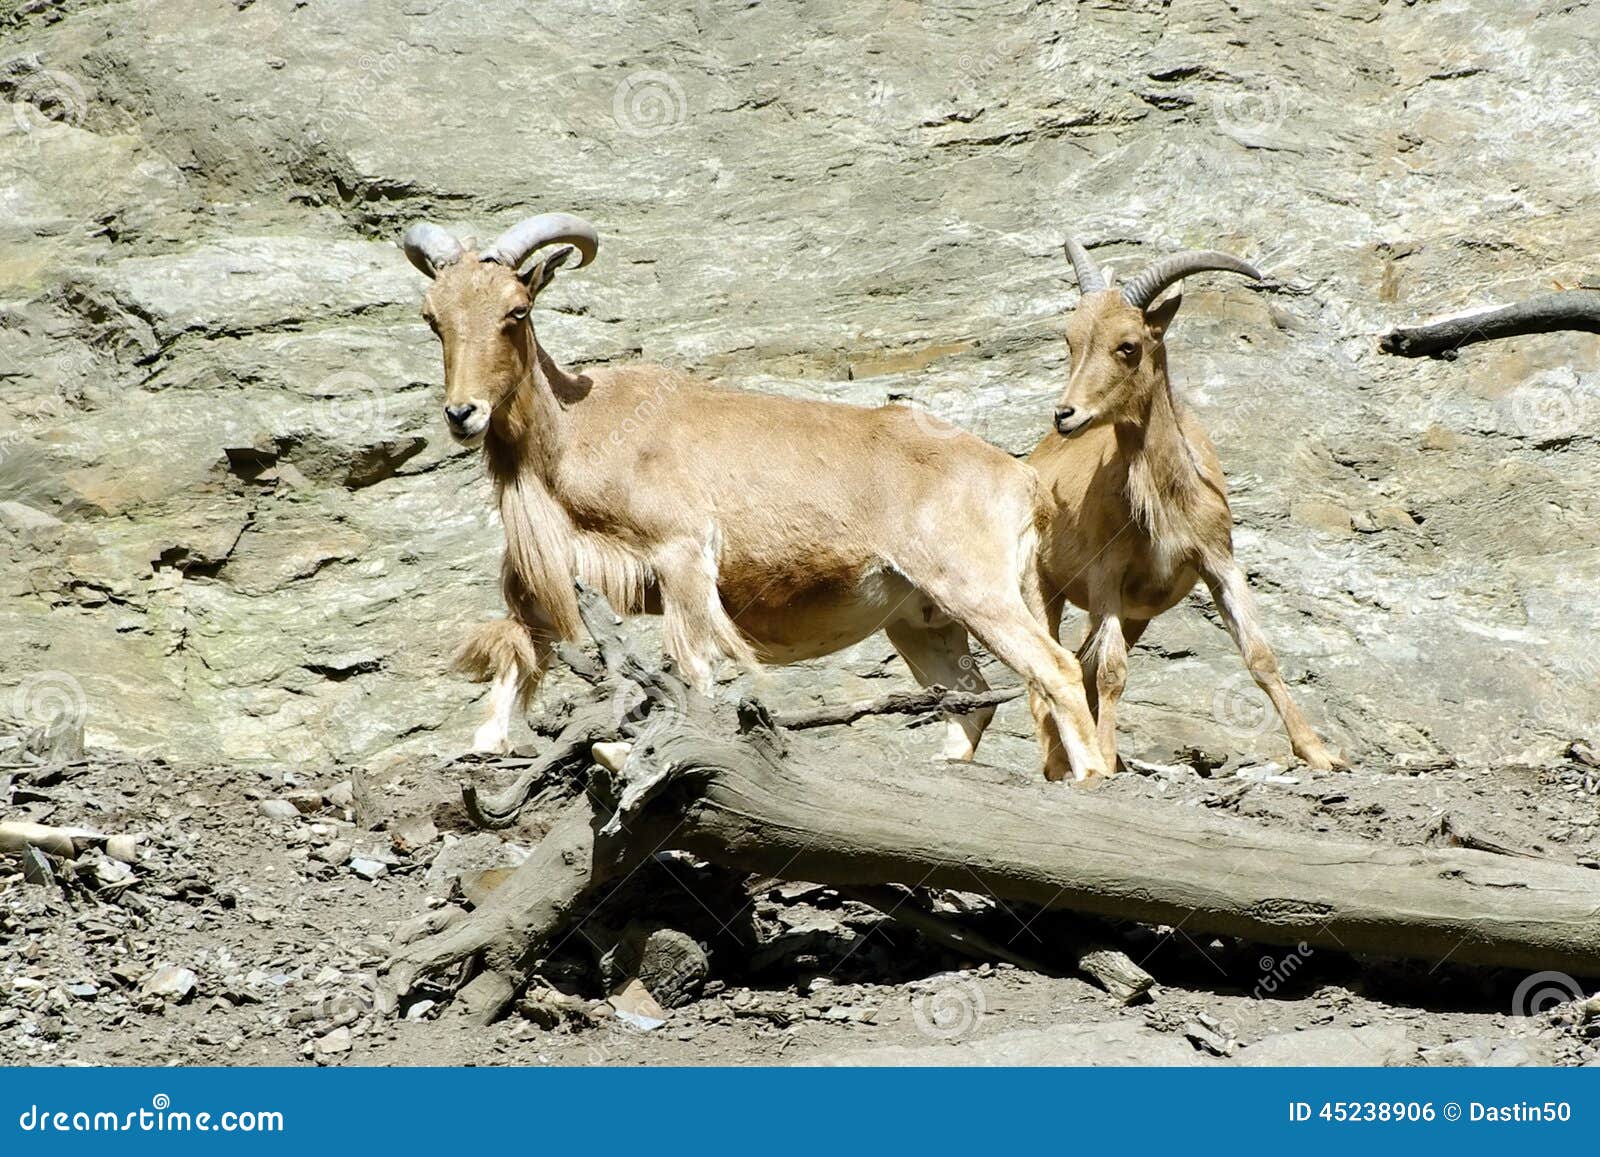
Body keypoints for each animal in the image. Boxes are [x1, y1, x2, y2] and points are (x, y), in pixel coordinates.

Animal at [400, 213, 1109, 781]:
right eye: (434, 318)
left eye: (516, 311)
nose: (462, 414)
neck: (577, 434)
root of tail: (1017, 479)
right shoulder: (544, 587)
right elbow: (512, 669)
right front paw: (488, 749)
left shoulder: (681, 558)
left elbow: (692, 667)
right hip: (920, 619)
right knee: (970, 698)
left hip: (976, 589)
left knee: (1056, 670)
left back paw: (1090, 776)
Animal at [1024, 240, 1344, 776]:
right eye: (1070, 340)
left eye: (1128, 345)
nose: (1065, 414)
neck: (1165, 500)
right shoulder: (1107, 577)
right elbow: (1111, 670)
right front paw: (1104, 758)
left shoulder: (1217, 561)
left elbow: (1260, 656)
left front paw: (1320, 753)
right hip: (1042, 587)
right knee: (1049, 665)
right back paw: (1060, 762)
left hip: (1136, 614)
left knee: (1078, 661)